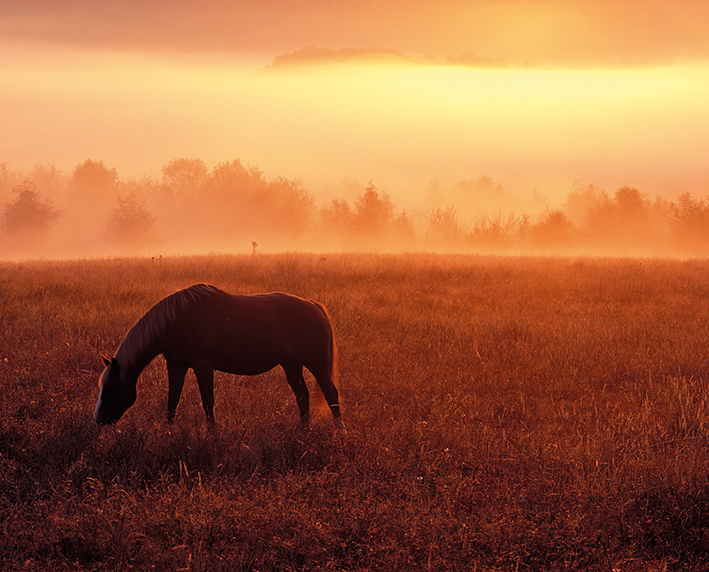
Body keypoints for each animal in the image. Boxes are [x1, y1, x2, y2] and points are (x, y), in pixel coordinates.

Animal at [93, 284, 346, 434]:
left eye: (111, 390)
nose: (98, 421)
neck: (177, 319)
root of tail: (314, 306)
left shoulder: (202, 365)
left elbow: (207, 400)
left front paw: (212, 434)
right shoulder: (176, 365)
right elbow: (172, 400)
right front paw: (168, 432)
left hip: (317, 365)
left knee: (331, 395)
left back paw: (340, 432)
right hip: (291, 364)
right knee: (302, 395)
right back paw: (304, 430)